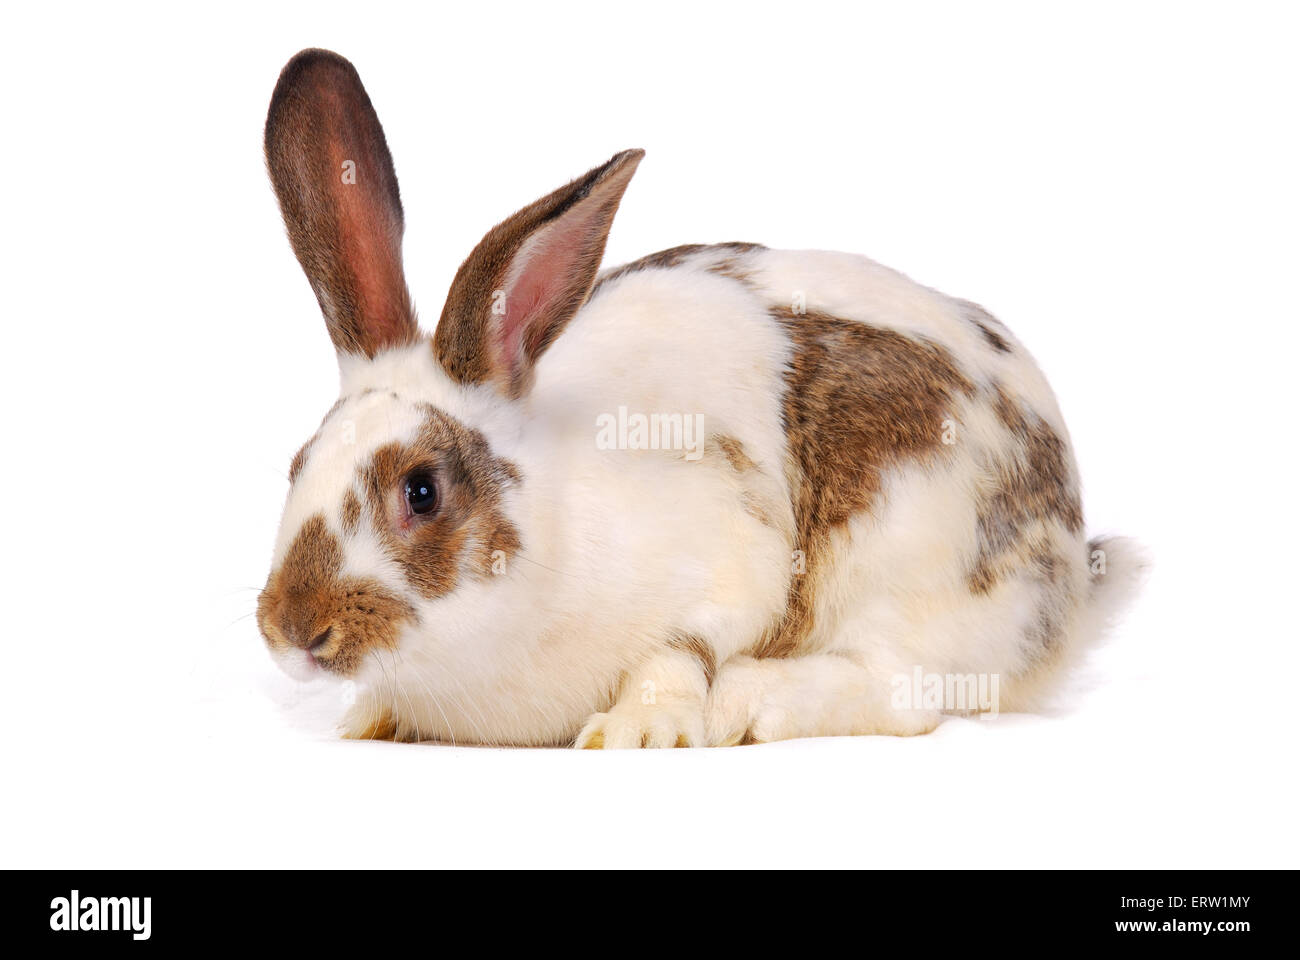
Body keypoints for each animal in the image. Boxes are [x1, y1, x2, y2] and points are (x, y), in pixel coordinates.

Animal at [256, 48, 1145, 748]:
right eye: (295, 463)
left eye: (422, 491)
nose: (290, 629)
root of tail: (1069, 581)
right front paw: (367, 719)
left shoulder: (731, 558)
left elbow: (677, 650)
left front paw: (639, 730)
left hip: (911, 553)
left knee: (904, 690)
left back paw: (750, 705)